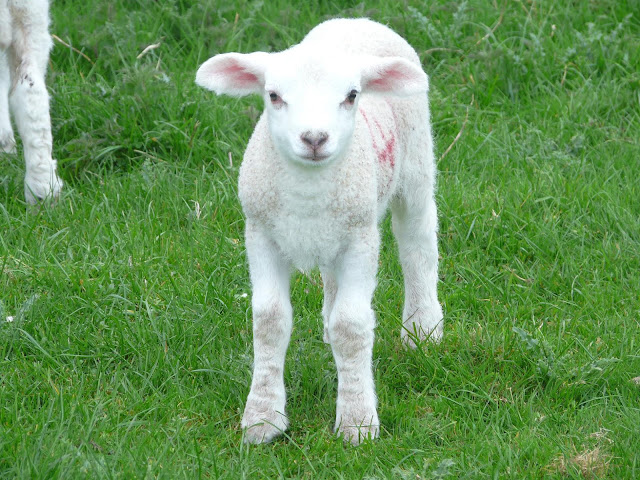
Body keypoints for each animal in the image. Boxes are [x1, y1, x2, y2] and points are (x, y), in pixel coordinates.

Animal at [196, 18, 443, 445]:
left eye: (352, 95)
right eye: (273, 96)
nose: (314, 138)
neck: (307, 192)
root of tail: (355, 20)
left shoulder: (361, 240)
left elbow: (352, 325)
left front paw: (357, 421)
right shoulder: (260, 234)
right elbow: (269, 320)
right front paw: (262, 418)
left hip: (414, 162)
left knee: (418, 242)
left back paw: (423, 328)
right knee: (332, 277)